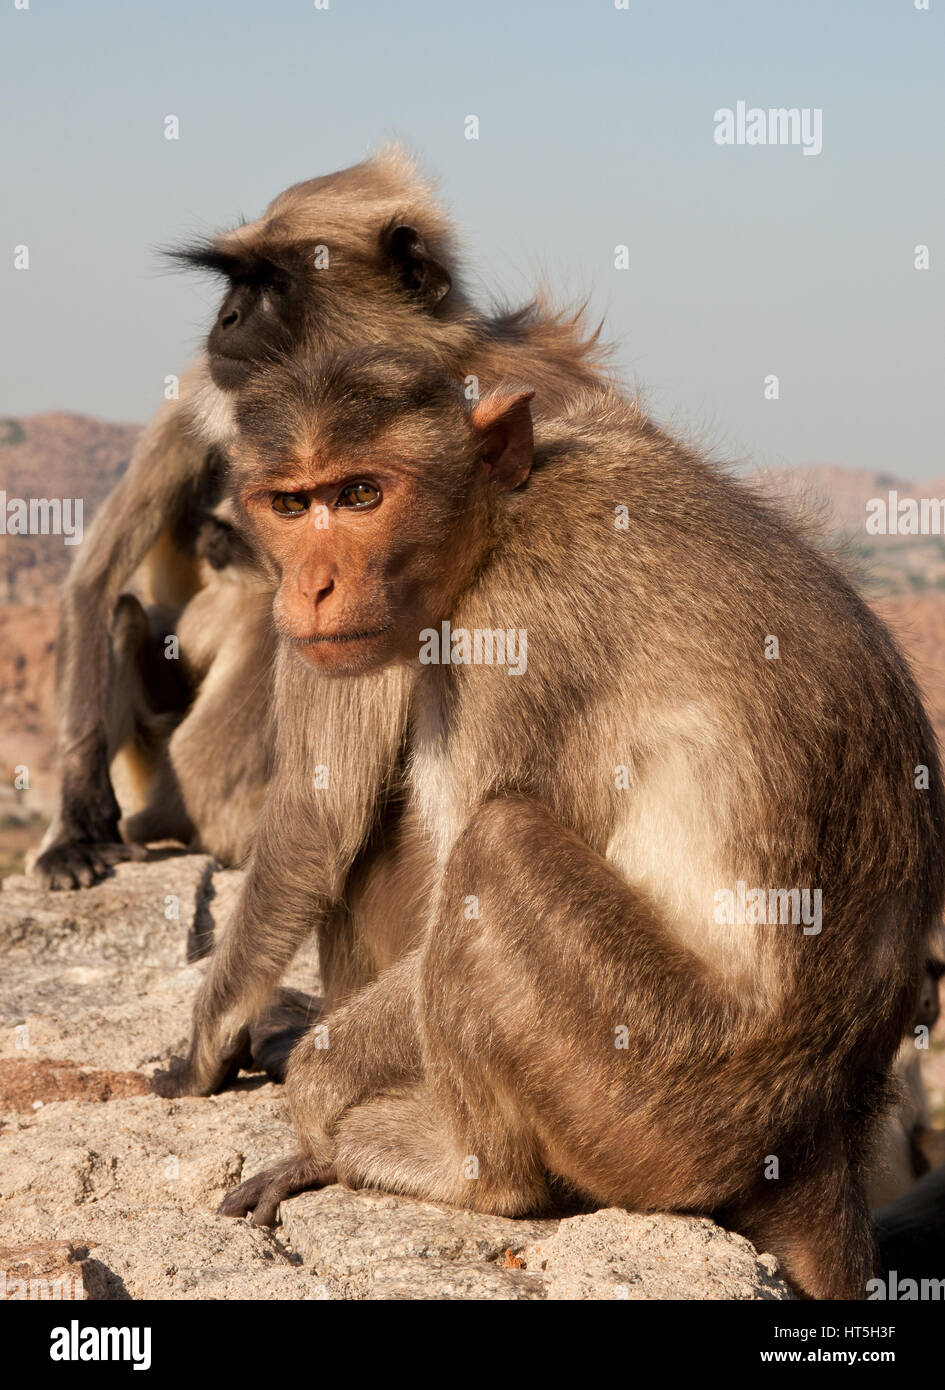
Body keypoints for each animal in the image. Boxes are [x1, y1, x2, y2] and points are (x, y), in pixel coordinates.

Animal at [34, 146, 612, 890]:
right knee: (126, 607)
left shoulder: (524, 381)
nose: (226, 319)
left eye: (273, 284)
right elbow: (96, 578)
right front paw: (78, 826)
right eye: (236, 281)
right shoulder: (204, 385)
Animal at [159, 345, 945, 1300]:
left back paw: (466, 1175)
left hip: (660, 1097)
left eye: (360, 494)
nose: (310, 587)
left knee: (494, 850)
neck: (499, 517)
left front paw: (298, 1086)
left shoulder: (511, 645)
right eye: (289, 502)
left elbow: (412, 869)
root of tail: (822, 1145)